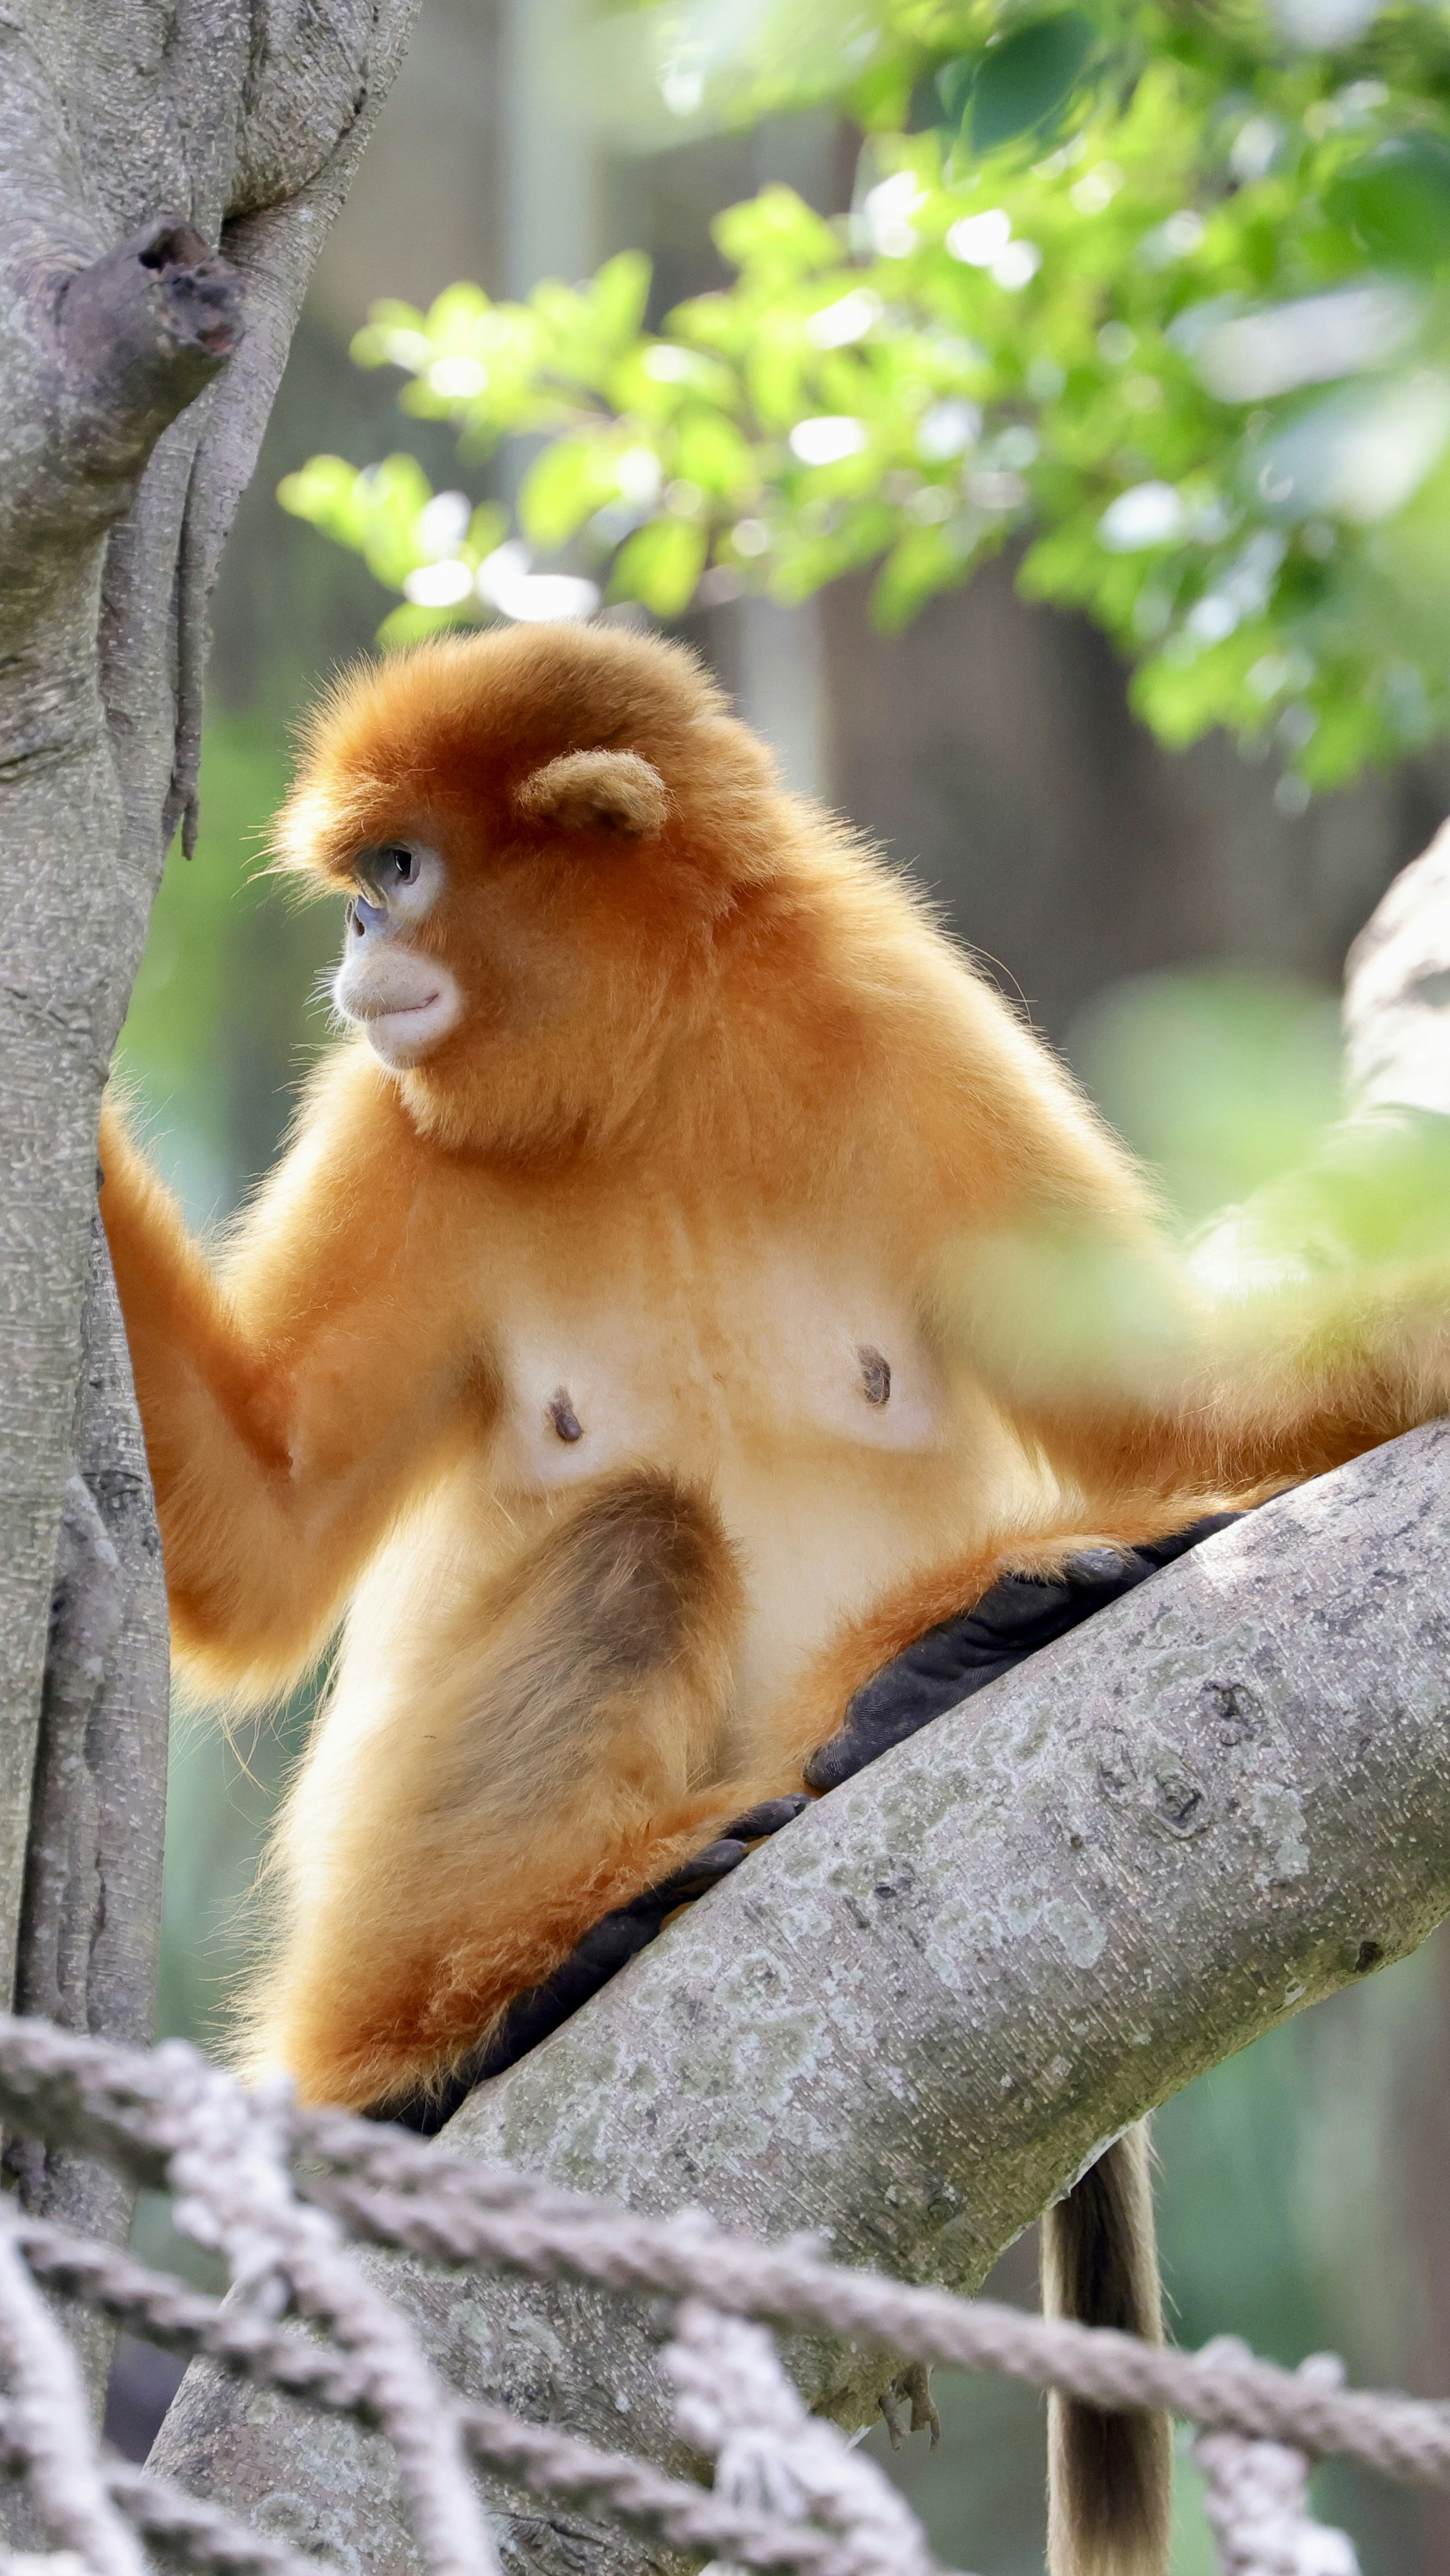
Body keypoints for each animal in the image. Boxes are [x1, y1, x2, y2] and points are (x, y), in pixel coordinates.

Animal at [97, 623, 1450, 2576]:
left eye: (397, 869)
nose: (353, 938)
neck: (651, 1072)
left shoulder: (896, 1016)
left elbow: (1158, 1403)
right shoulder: (394, 1109)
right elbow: (254, 1557)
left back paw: (943, 1658)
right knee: (635, 1530)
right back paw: (462, 2011)